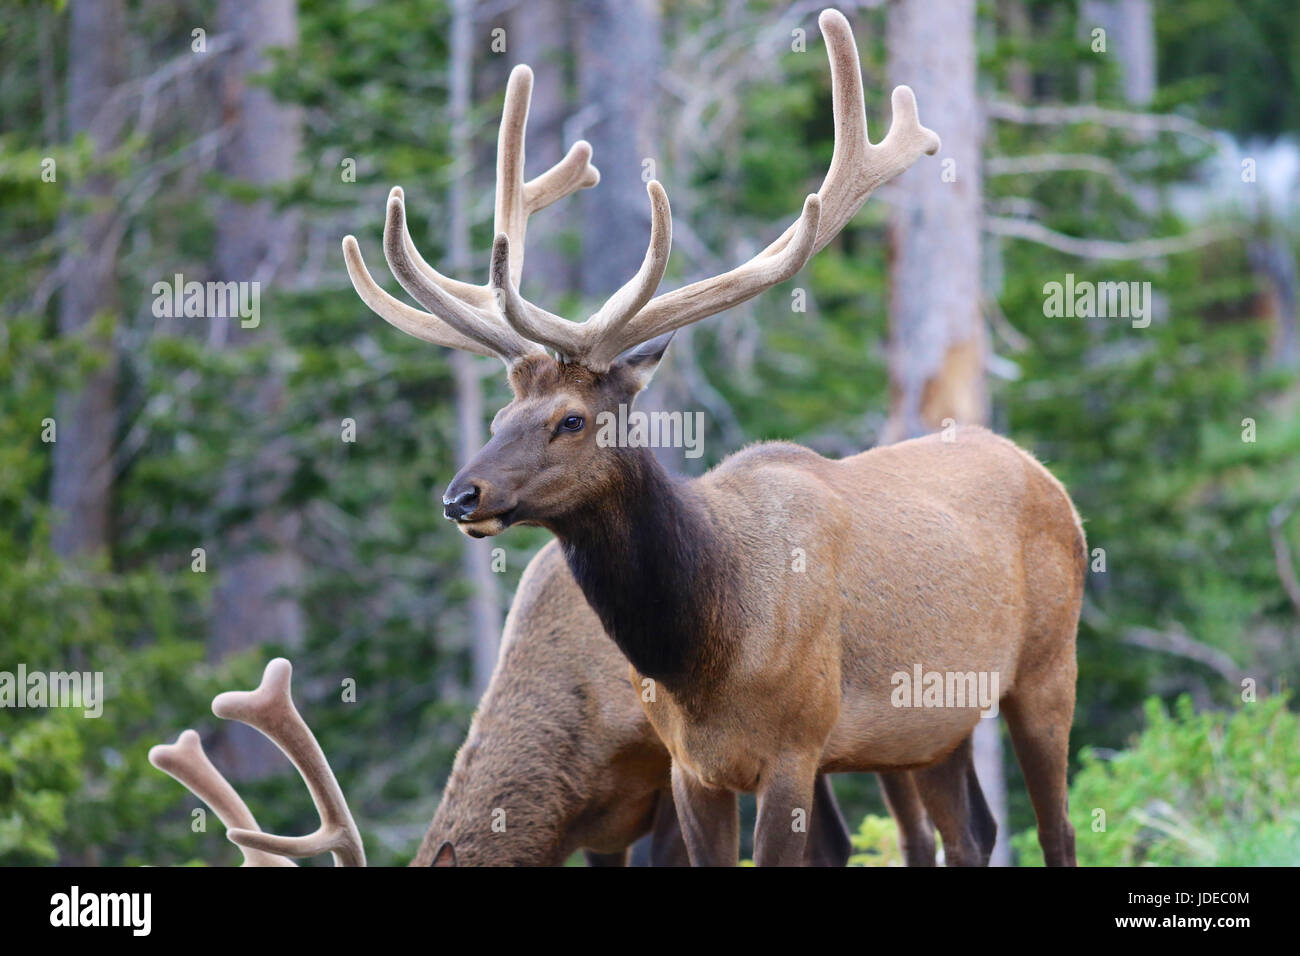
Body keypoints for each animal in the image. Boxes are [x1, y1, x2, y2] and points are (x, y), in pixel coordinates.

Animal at [341, 7, 1065, 867]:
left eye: (571, 419)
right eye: (498, 419)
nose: (461, 496)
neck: (703, 647)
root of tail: (1042, 472)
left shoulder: (793, 749)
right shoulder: (692, 769)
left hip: (1047, 673)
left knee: (1054, 828)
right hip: (930, 730)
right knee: (972, 830)